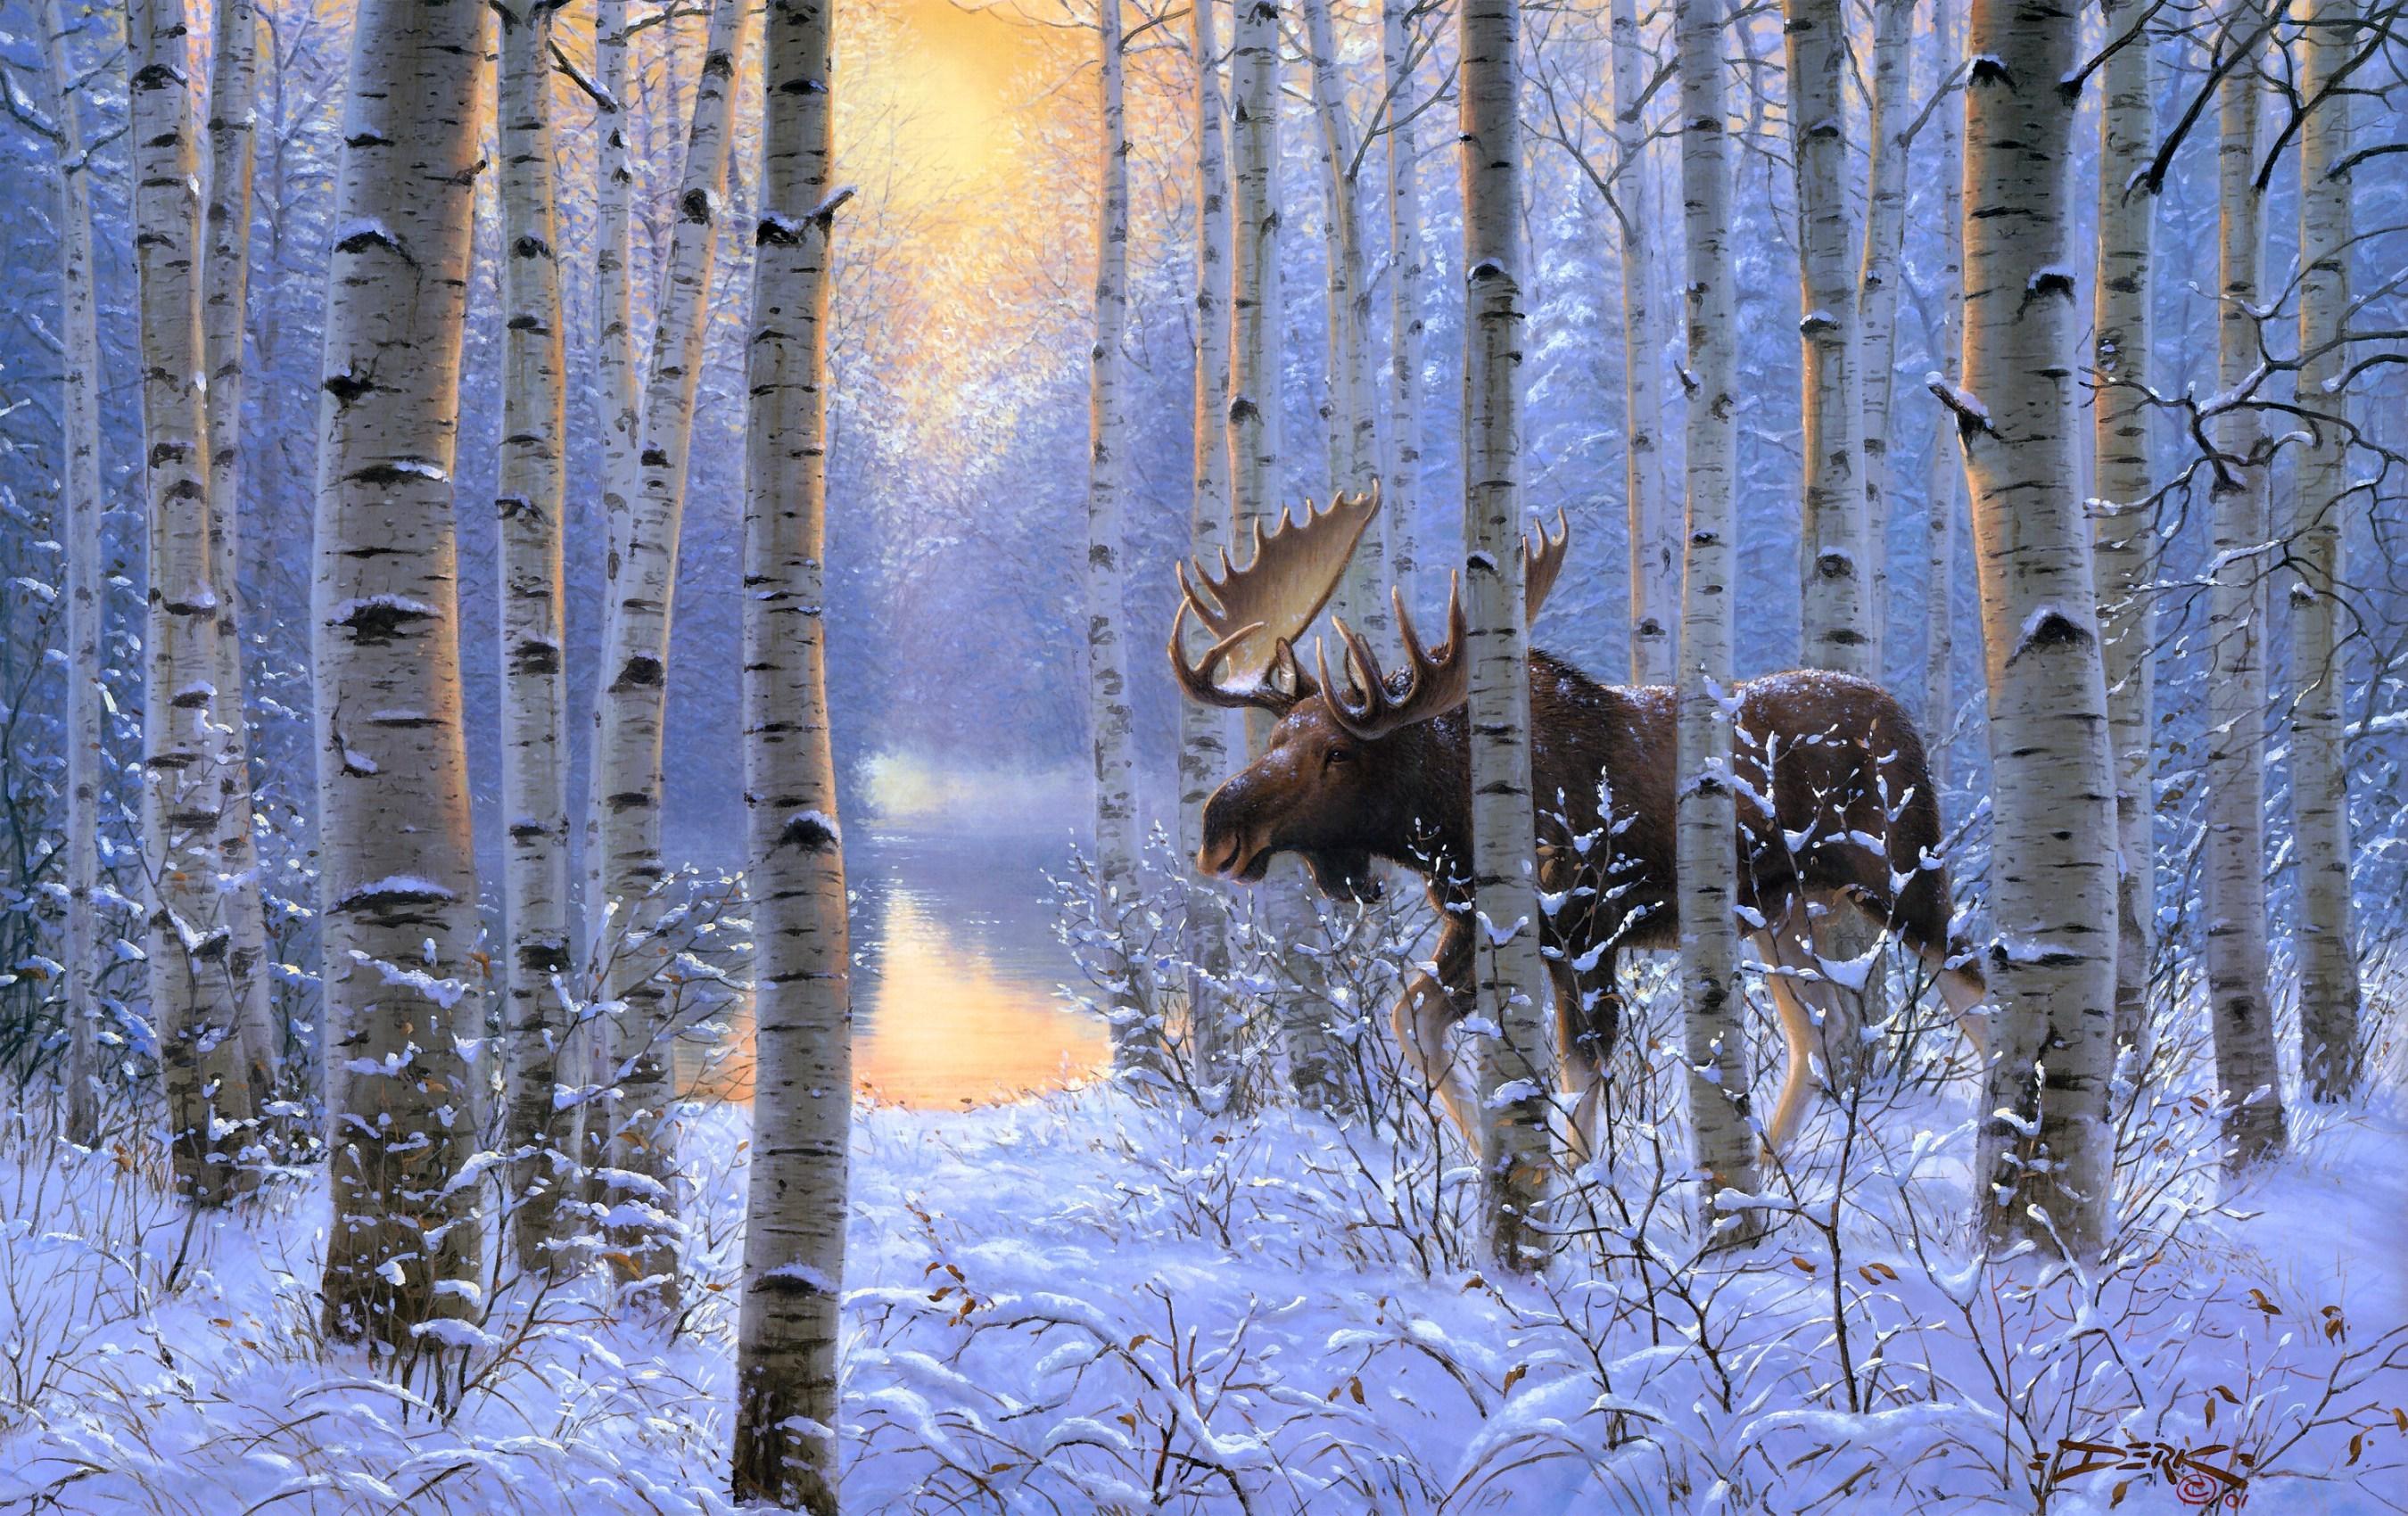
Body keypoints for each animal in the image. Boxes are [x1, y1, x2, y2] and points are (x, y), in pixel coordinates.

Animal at [1169, 485, 1988, 1162]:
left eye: (1337, 753)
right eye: (1275, 740)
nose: (1218, 831)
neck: (1449, 820)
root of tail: (1904, 721)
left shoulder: (1591, 928)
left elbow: (1580, 1073)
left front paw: (1578, 1194)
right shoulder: (1482, 924)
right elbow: (1415, 1021)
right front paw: (1491, 1162)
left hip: (1904, 877)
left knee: (1975, 987)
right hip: (1779, 907)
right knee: (1826, 1030)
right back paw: (1767, 1179)